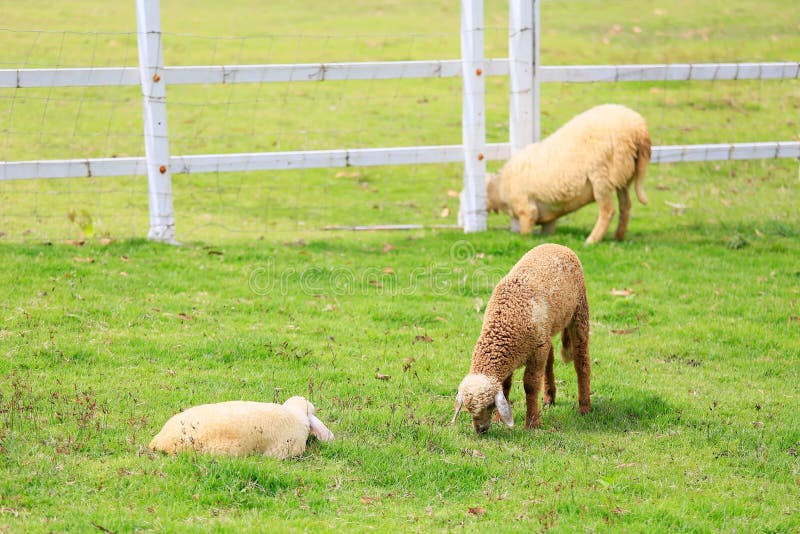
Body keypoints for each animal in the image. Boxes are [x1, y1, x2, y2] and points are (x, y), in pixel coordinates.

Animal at [451, 243, 591, 434]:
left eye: (489, 405)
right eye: (468, 409)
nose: (481, 430)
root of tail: (557, 245)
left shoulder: (536, 351)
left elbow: (530, 386)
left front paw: (532, 423)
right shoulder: (528, 349)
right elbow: (505, 385)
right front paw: (499, 420)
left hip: (579, 310)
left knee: (581, 360)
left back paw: (584, 407)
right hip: (547, 330)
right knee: (550, 358)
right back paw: (549, 397)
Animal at [484, 104, 651, 244]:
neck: (498, 189)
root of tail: (639, 130)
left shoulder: (526, 208)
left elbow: (525, 232)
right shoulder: (548, 216)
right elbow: (548, 229)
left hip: (601, 174)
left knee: (608, 210)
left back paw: (592, 240)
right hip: (621, 175)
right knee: (625, 206)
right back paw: (618, 237)